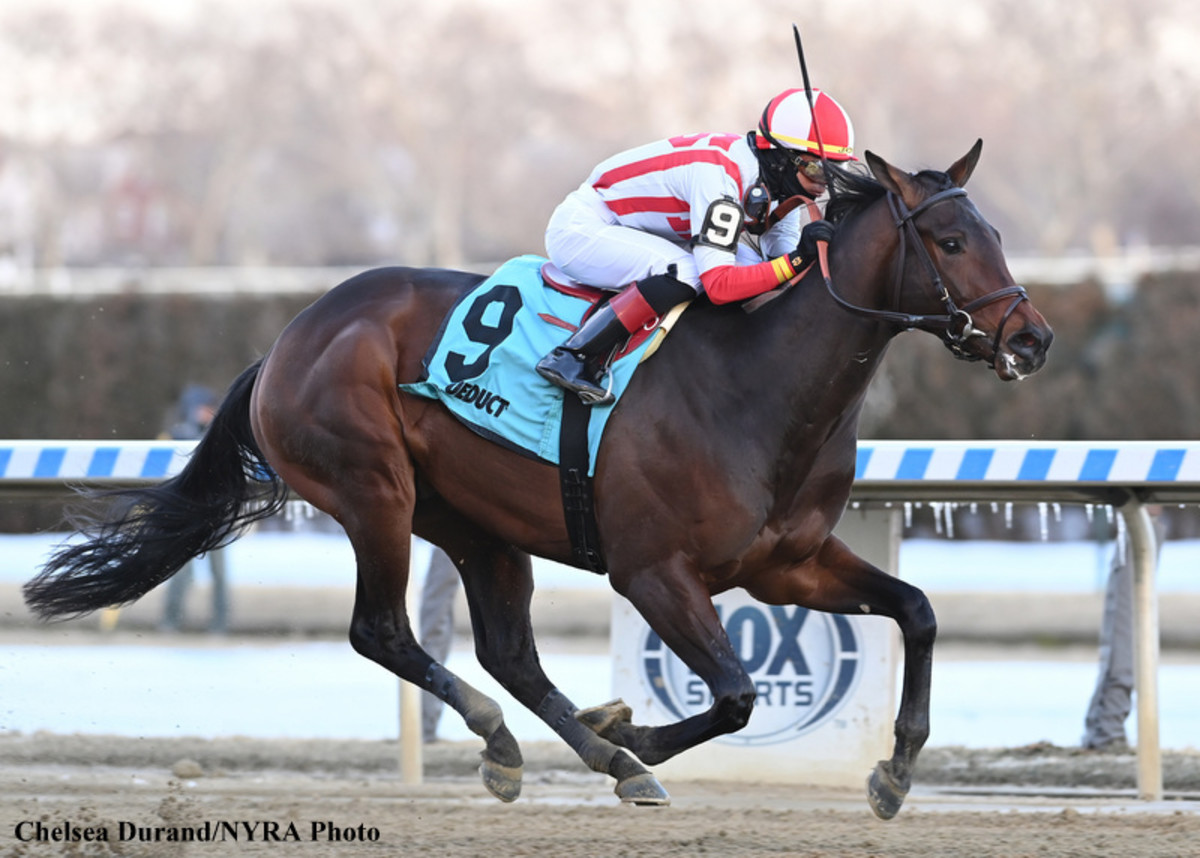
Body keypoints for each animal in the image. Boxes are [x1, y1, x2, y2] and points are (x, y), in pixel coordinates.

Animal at [24, 140, 1052, 820]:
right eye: (950, 241)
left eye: (997, 230)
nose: (1033, 338)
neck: (757, 384)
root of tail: (288, 338)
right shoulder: (654, 571)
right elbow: (736, 695)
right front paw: (636, 733)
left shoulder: (783, 564)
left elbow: (917, 610)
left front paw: (895, 772)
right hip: (373, 492)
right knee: (383, 631)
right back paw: (538, 743)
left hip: (477, 523)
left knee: (508, 650)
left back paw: (578, 751)